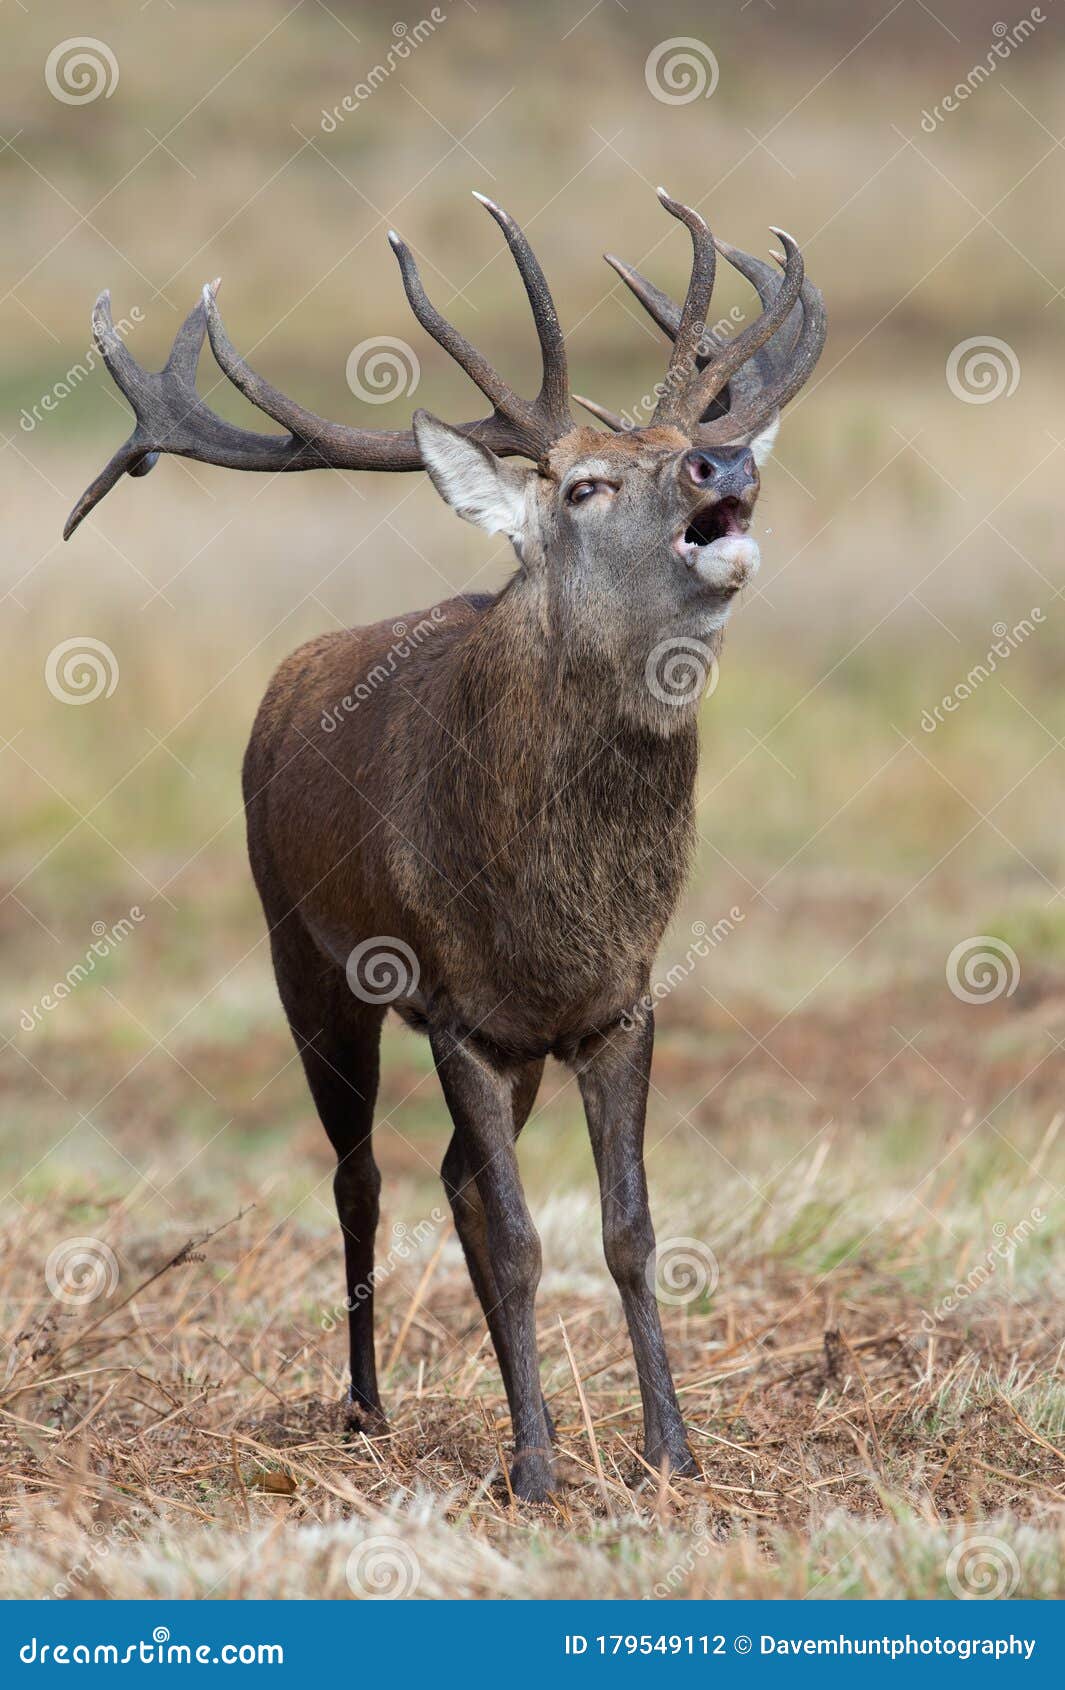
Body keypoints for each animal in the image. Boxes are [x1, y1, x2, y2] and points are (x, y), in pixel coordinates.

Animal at [65, 189, 825, 1502]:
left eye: (686, 436)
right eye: (580, 486)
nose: (719, 461)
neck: (553, 901)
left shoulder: (618, 1002)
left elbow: (628, 1229)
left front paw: (669, 1450)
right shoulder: (459, 1005)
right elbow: (520, 1239)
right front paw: (537, 1468)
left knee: (456, 1181)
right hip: (305, 960)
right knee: (361, 1178)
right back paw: (366, 1405)